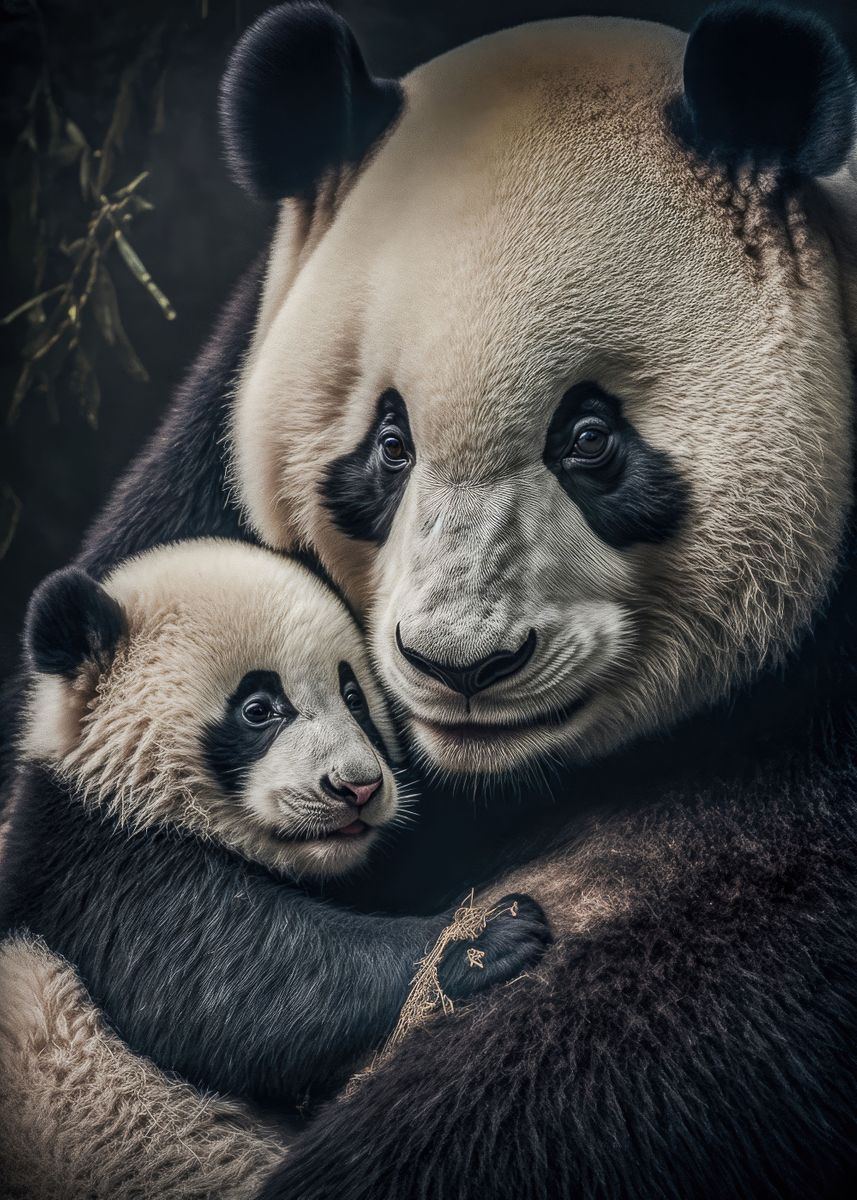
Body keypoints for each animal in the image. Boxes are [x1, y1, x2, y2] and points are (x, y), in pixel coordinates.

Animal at [0, 538, 549, 1121]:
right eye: (258, 710)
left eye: (354, 697)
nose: (357, 788)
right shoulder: (101, 869)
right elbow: (233, 982)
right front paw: (488, 936)